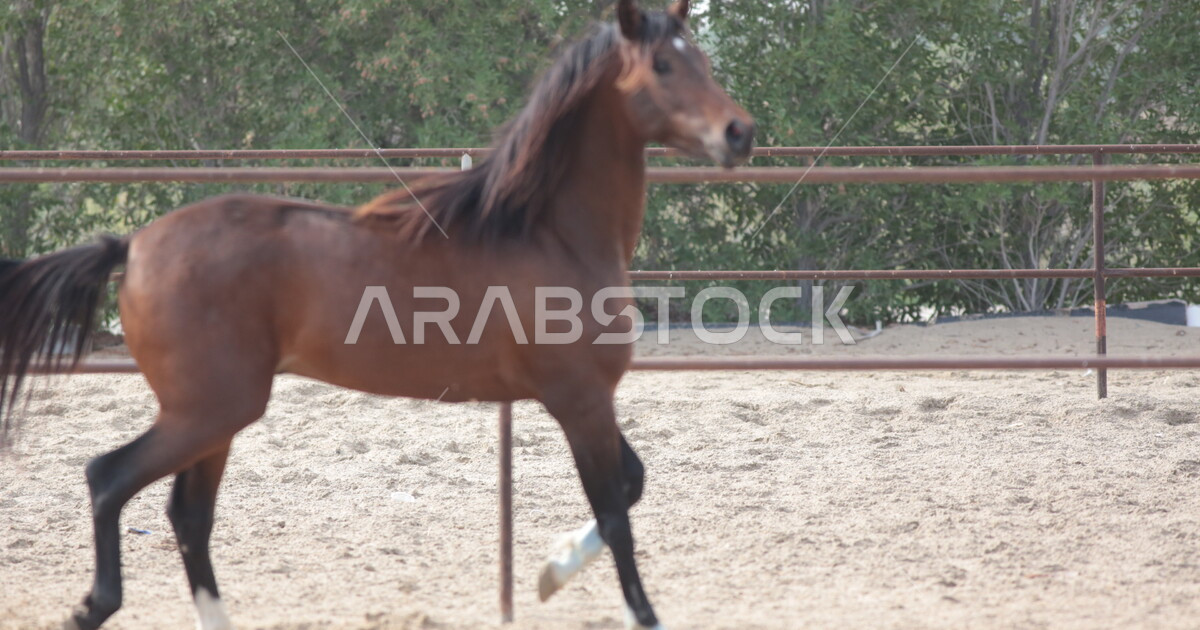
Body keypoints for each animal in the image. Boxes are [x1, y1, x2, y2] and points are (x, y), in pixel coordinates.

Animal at [0, 1, 753, 628]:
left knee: (188, 517)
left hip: (211, 418)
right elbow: (617, 512)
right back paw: (93, 604)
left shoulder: (584, 399)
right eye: (662, 64)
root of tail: (134, 245)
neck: (548, 231)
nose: (739, 133)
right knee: (109, 480)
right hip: (208, 411)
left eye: (704, 59)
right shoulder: (579, 399)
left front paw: (547, 573)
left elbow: (631, 484)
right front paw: (625, 608)